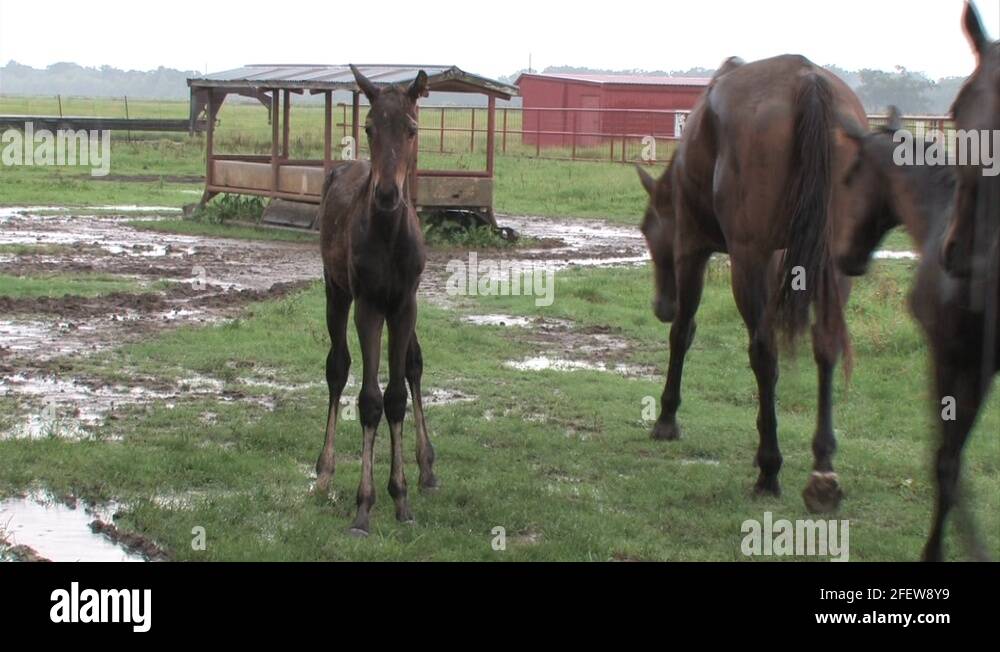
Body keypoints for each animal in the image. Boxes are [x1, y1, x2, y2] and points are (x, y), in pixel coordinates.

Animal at [314, 65, 438, 536]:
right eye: (368, 127)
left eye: (412, 128)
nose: (386, 195)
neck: (388, 236)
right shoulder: (368, 305)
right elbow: (369, 400)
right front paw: (364, 506)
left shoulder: (404, 305)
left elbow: (397, 393)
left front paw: (401, 496)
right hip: (335, 291)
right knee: (337, 368)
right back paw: (324, 471)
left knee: (414, 366)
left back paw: (427, 468)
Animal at [637, 54, 865, 512]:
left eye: (647, 231)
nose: (660, 305)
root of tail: (806, 79)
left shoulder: (691, 249)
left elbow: (683, 333)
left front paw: (667, 418)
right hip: (831, 263)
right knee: (826, 345)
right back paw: (823, 469)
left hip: (747, 261)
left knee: (764, 353)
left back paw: (768, 469)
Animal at [836, 106, 996, 561]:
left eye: (849, 176)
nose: (844, 257)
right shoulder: (978, 371)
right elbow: (952, 458)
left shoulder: (951, 359)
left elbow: (946, 460)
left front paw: (937, 550)